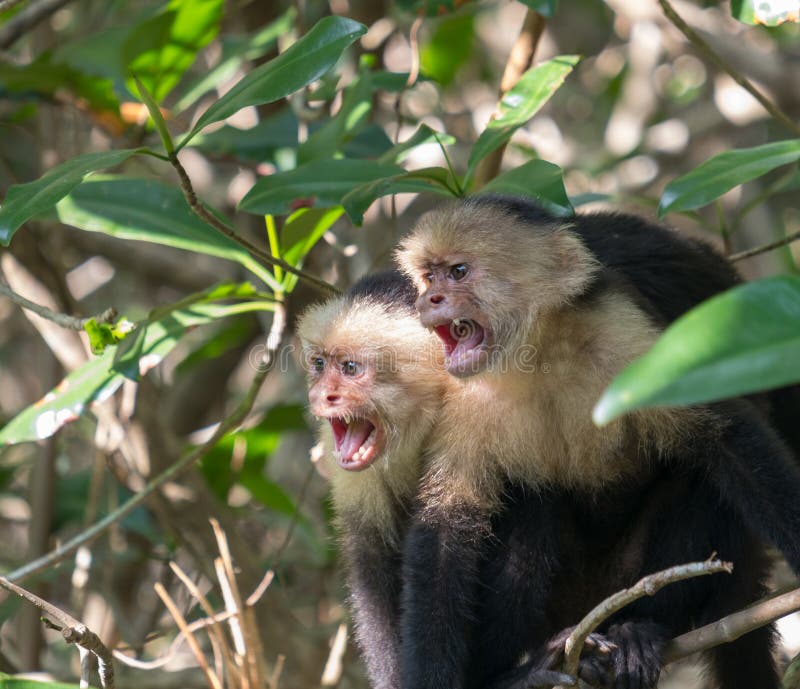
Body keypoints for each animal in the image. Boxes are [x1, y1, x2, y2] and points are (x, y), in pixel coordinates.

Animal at [394, 195, 800, 689]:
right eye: (428, 276)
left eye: (458, 272)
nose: (428, 298)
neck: (538, 352)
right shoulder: (459, 392)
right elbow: (445, 530)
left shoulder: (621, 330)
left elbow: (727, 434)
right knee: (533, 501)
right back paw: (514, 671)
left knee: (699, 476)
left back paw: (641, 630)